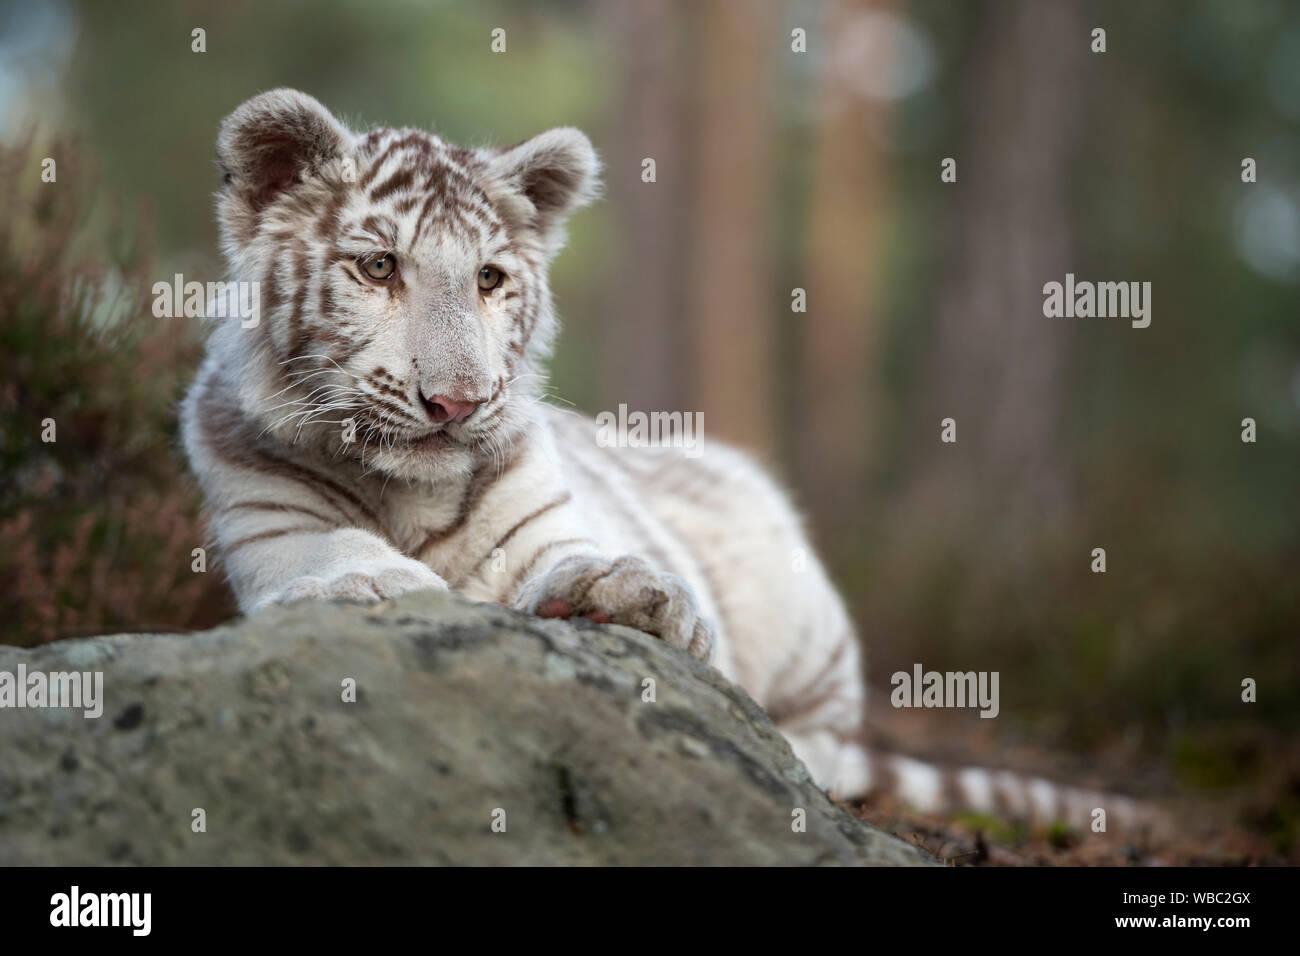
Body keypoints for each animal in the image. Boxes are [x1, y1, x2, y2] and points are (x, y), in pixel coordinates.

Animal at [182, 89, 1152, 831]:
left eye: (491, 279)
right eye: (379, 267)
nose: (457, 402)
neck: (409, 495)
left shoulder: (539, 528)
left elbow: (572, 557)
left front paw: (627, 593)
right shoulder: (273, 522)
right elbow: (332, 550)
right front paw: (377, 582)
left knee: (826, 739)